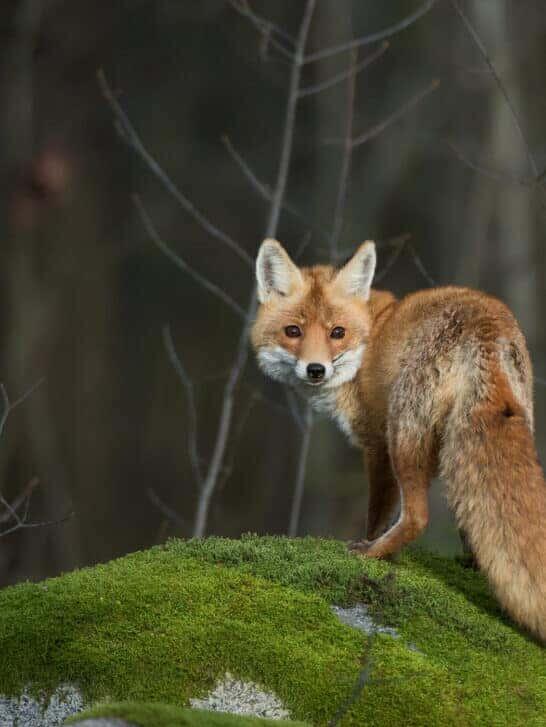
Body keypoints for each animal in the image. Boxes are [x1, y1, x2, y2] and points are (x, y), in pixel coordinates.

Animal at [251, 237, 546, 643]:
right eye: (292, 331)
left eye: (337, 332)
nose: (316, 370)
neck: (370, 337)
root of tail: (488, 324)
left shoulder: (376, 441)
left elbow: (376, 513)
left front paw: (368, 541)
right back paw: (474, 565)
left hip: (404, 435)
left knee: (418, 517)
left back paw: (371, 553)